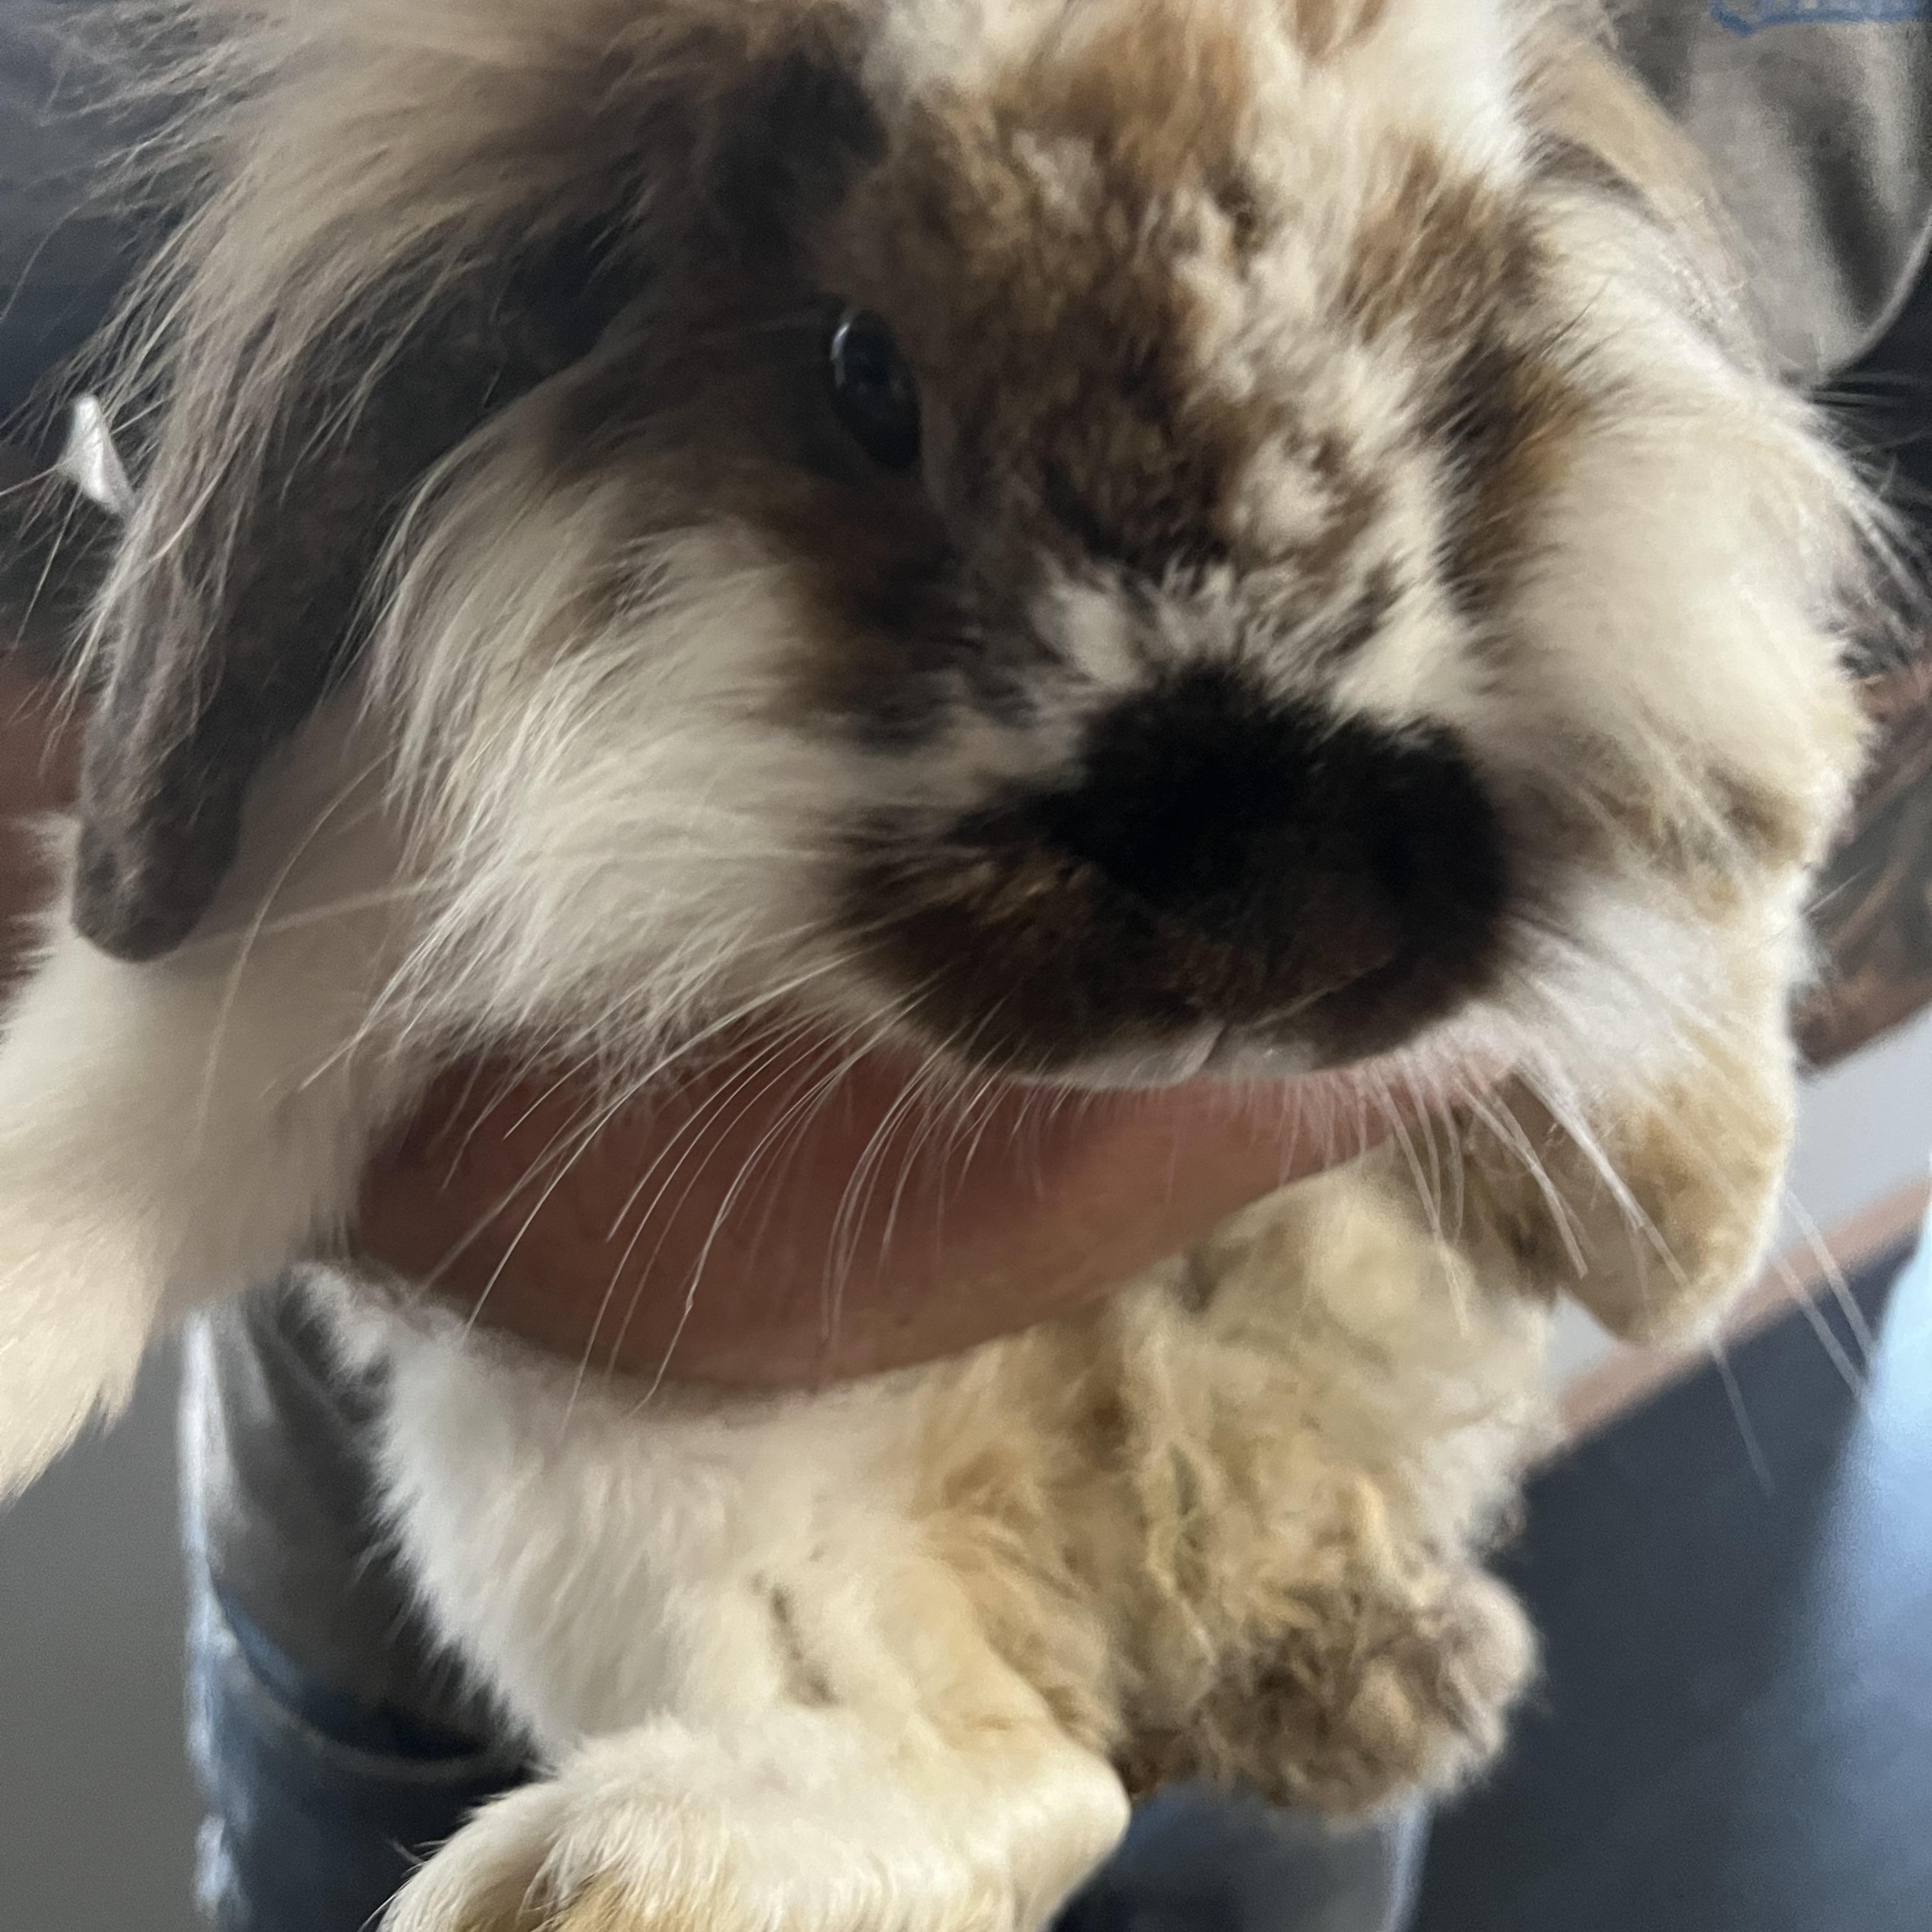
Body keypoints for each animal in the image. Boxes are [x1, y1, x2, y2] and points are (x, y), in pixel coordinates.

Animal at [0, 0, 1878, 1927]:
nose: (1257, 920)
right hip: (592, 1471)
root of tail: (1208, 1610)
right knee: (1034, 1774)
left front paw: (1685, 1116)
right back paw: (588, 1878)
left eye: (1466, 387)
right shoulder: (353, 867)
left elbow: (1762, 765)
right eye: (864, 377)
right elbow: (144, 1089)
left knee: (1061, 1772)